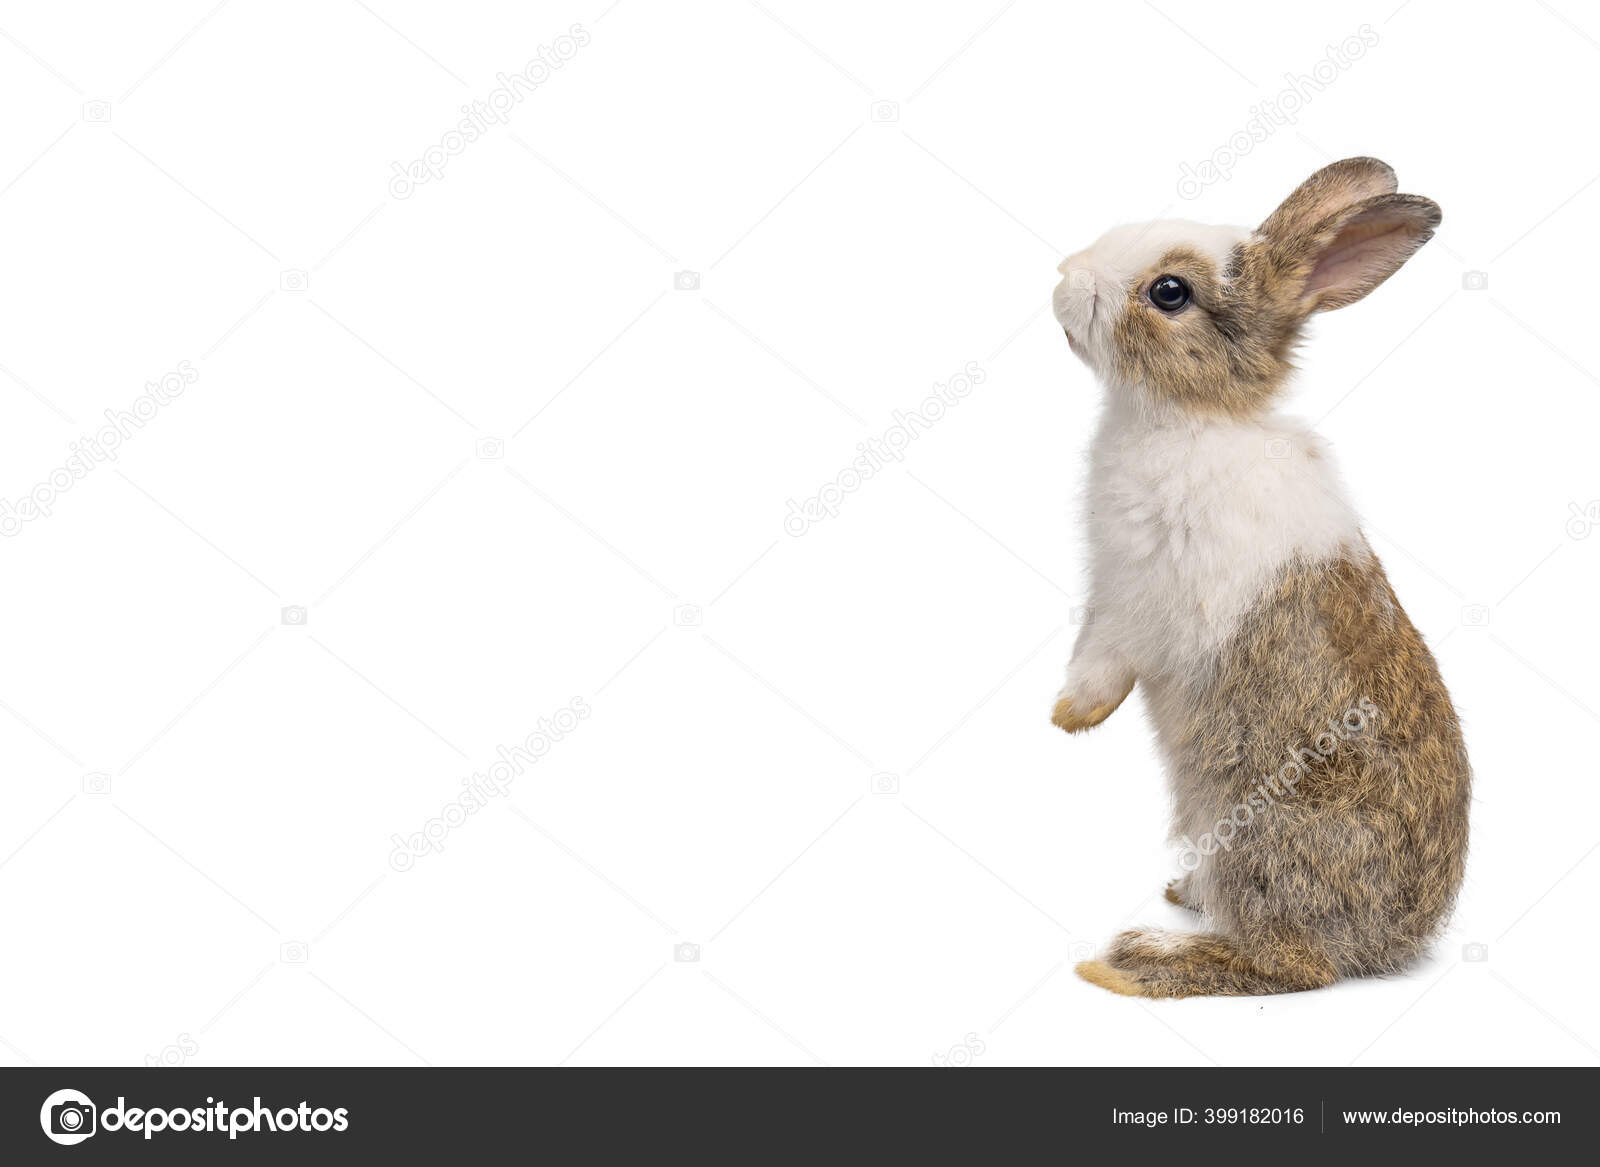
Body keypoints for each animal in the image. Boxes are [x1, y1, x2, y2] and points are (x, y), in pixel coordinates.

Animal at [1050, 157, 1470, 998]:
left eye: (1169, 291)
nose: (1063, 276)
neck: (1193, 414)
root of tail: (1391, 939)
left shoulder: (1142, 597)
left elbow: (1106, 655)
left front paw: (1071, 714)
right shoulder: (1108, 587)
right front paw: (1067, 714)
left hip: (1259, 831)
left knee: (1291, 963)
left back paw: (1137, 957)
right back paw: (1183, 896)